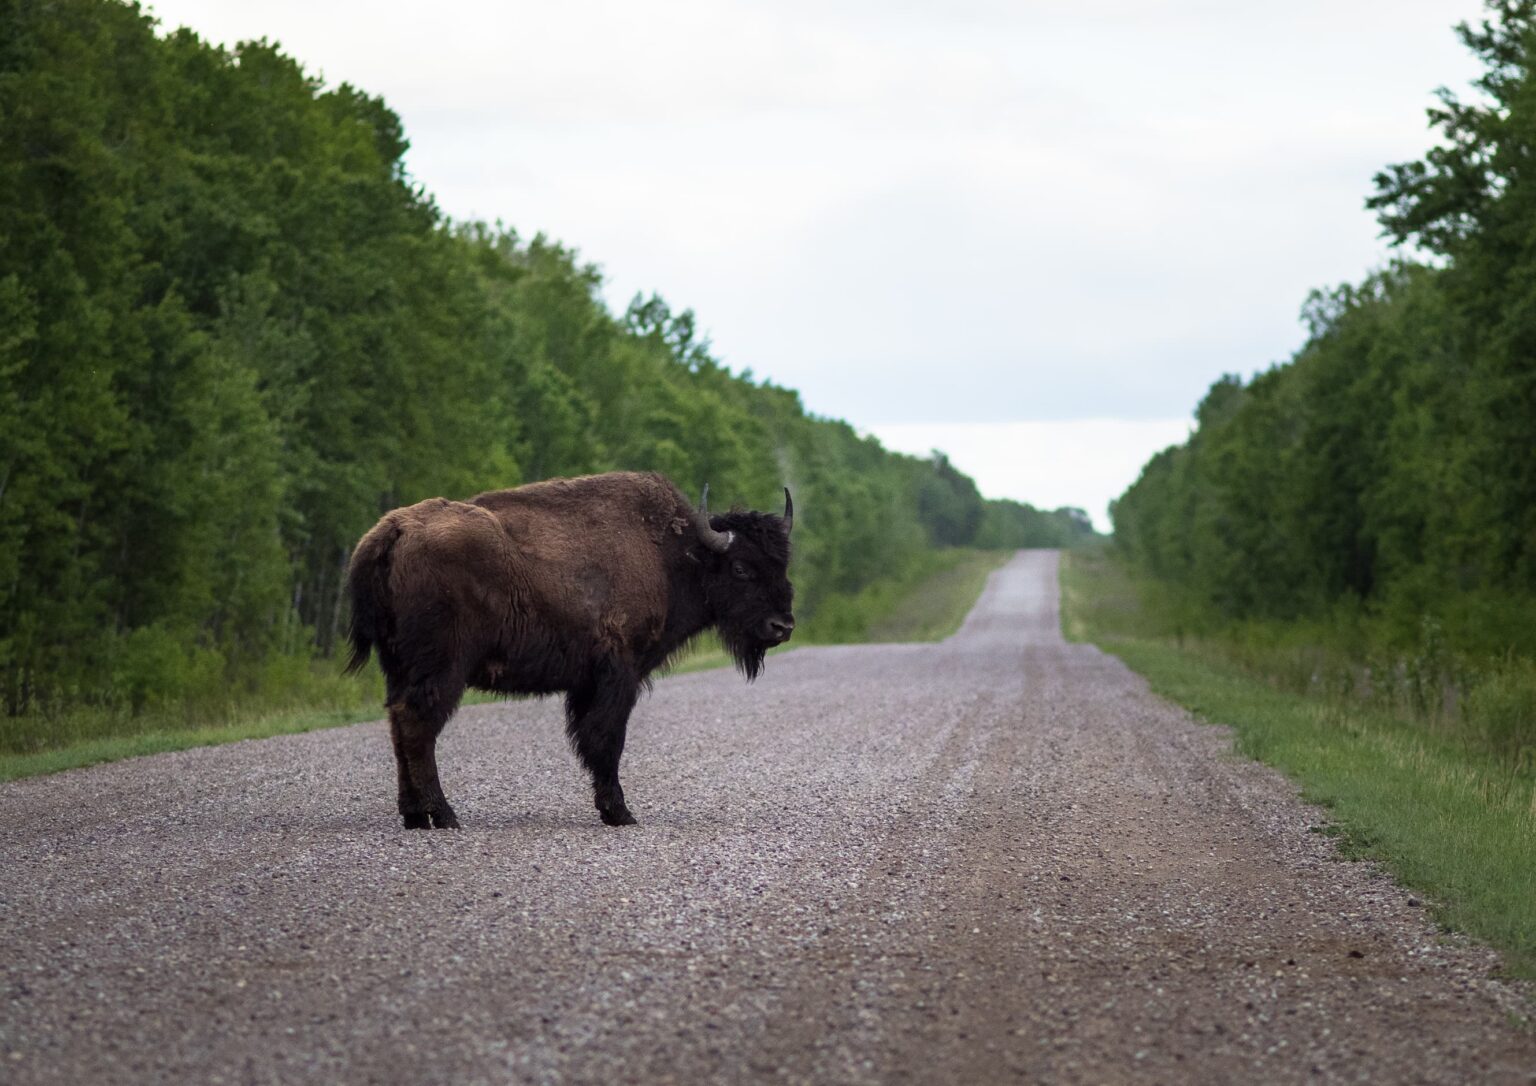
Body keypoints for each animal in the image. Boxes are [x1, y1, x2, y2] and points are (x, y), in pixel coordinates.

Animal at [344, 471, 795, 829]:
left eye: (783, 566)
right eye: (741, 567)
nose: (782, 626)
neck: (673, 557)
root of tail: (392, 530)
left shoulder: (587, 683)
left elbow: (592, 739)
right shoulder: (618, 674)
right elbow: (607, 739)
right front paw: (620, 813)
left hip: (398, 666)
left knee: (398, 724)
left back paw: (415, 816)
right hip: (442, 668)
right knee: (417, 724)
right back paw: (444, 815)